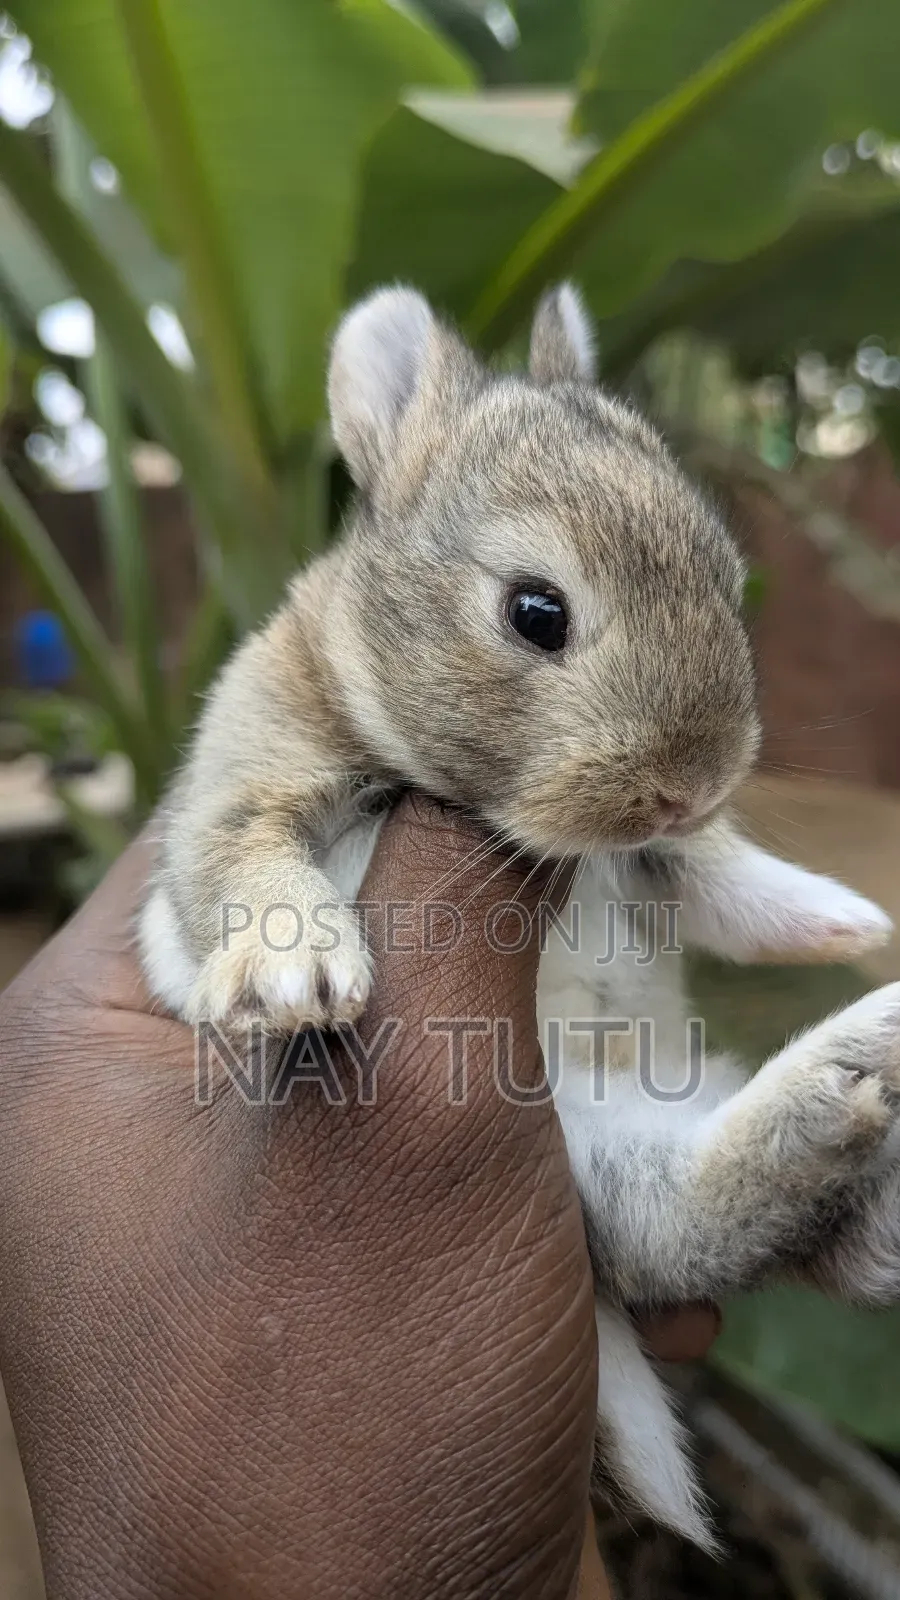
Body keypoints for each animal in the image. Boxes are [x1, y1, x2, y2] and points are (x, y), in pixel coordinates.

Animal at [140, 282, 900, 1550]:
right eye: (537, 612)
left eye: (724, 576)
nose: (692, 777)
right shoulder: (251, 776)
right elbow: (242, 857)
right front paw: (297, 978)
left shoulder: (654, 856)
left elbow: (719, 877)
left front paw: (841, 918)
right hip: (584, 1149)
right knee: (695, 1216)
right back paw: (854, 1064)